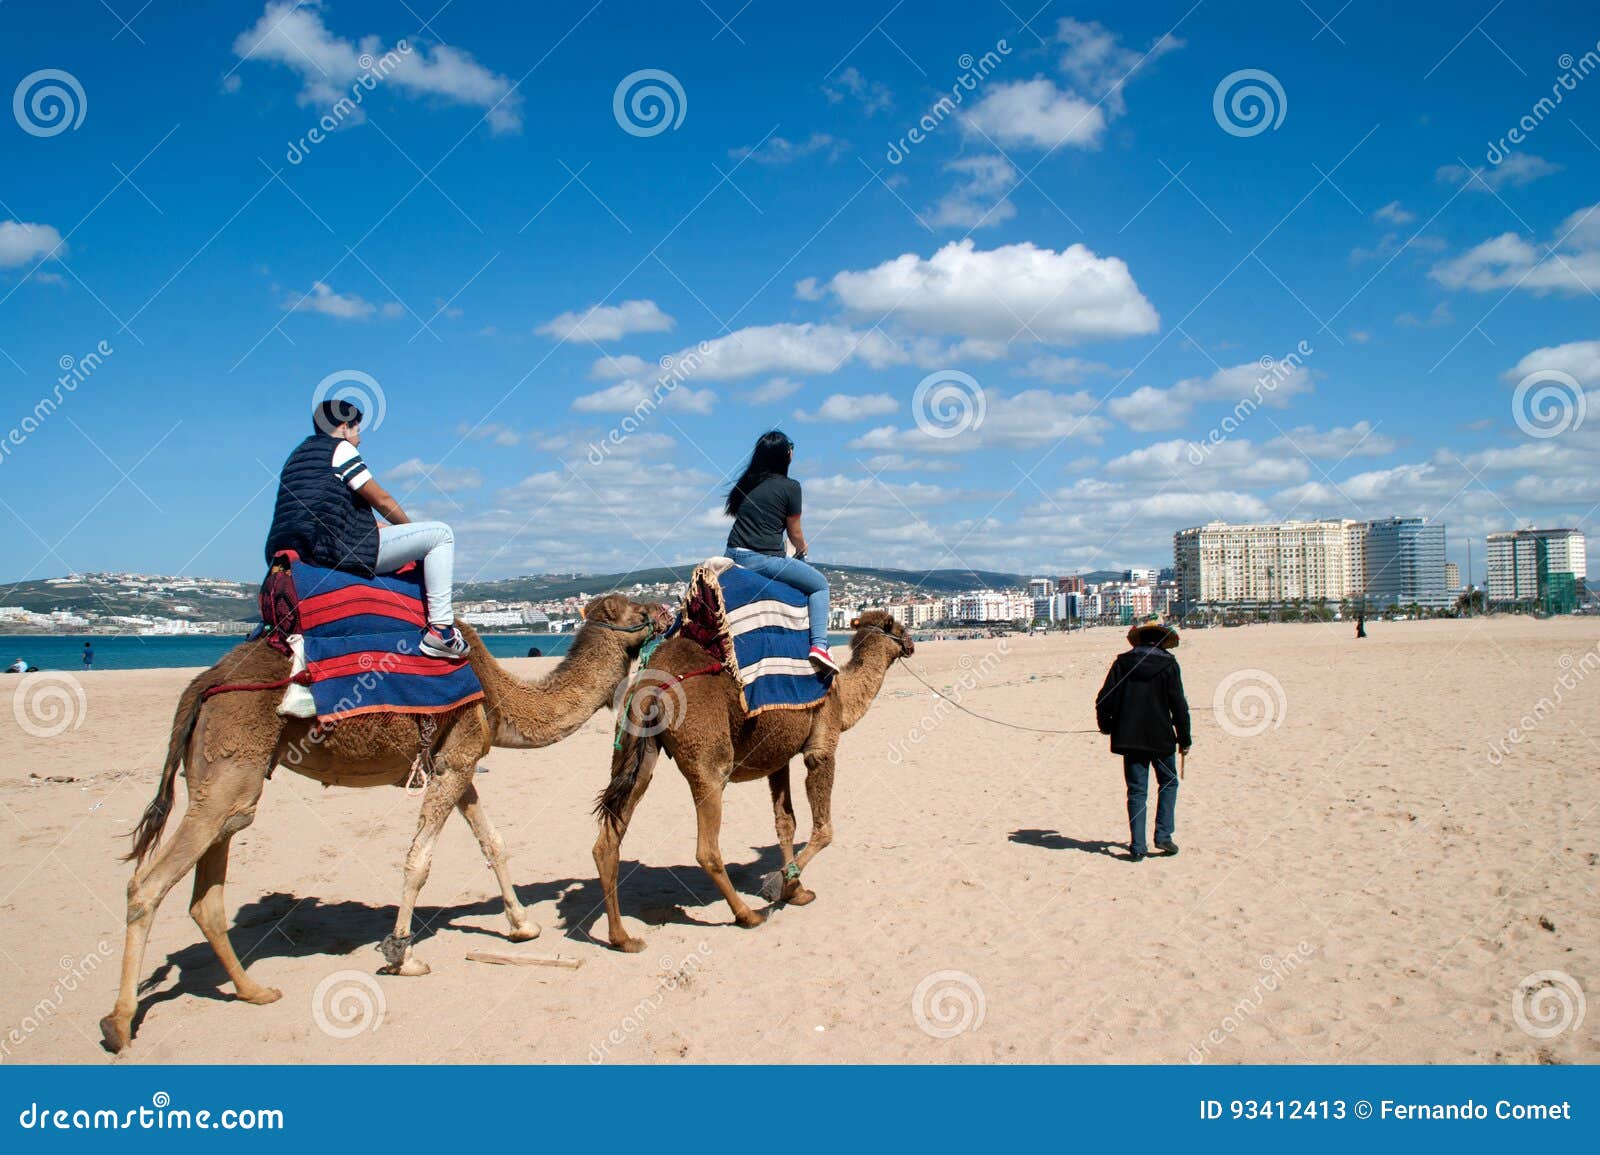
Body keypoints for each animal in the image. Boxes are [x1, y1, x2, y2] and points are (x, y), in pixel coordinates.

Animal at [100, 594, 670, 1052]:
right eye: (636, 610)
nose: (669, 611)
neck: (499, 697)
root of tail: (203, 683)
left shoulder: (458, 764)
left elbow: (493, 842)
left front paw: (523, 926)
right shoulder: (456, 759)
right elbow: (419, 860)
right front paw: (402, 955)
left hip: (229, 780)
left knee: (207, 893)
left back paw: (254, 991)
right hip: (229, 769)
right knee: (146, 884)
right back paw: (120, 1023)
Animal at [592, 610, 913, 951]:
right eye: (899, 628)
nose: (911, 643)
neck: (842, 693)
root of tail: (652, 685)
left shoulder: (778, 758)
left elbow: (785, 823)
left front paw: (797, 890)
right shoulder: (821, 746)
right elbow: (824, 830)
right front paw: (782, 885)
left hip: (635, 749)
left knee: (608, 839)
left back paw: (622, 938)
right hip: (707, 757)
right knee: (706, 847)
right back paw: (747, 915)